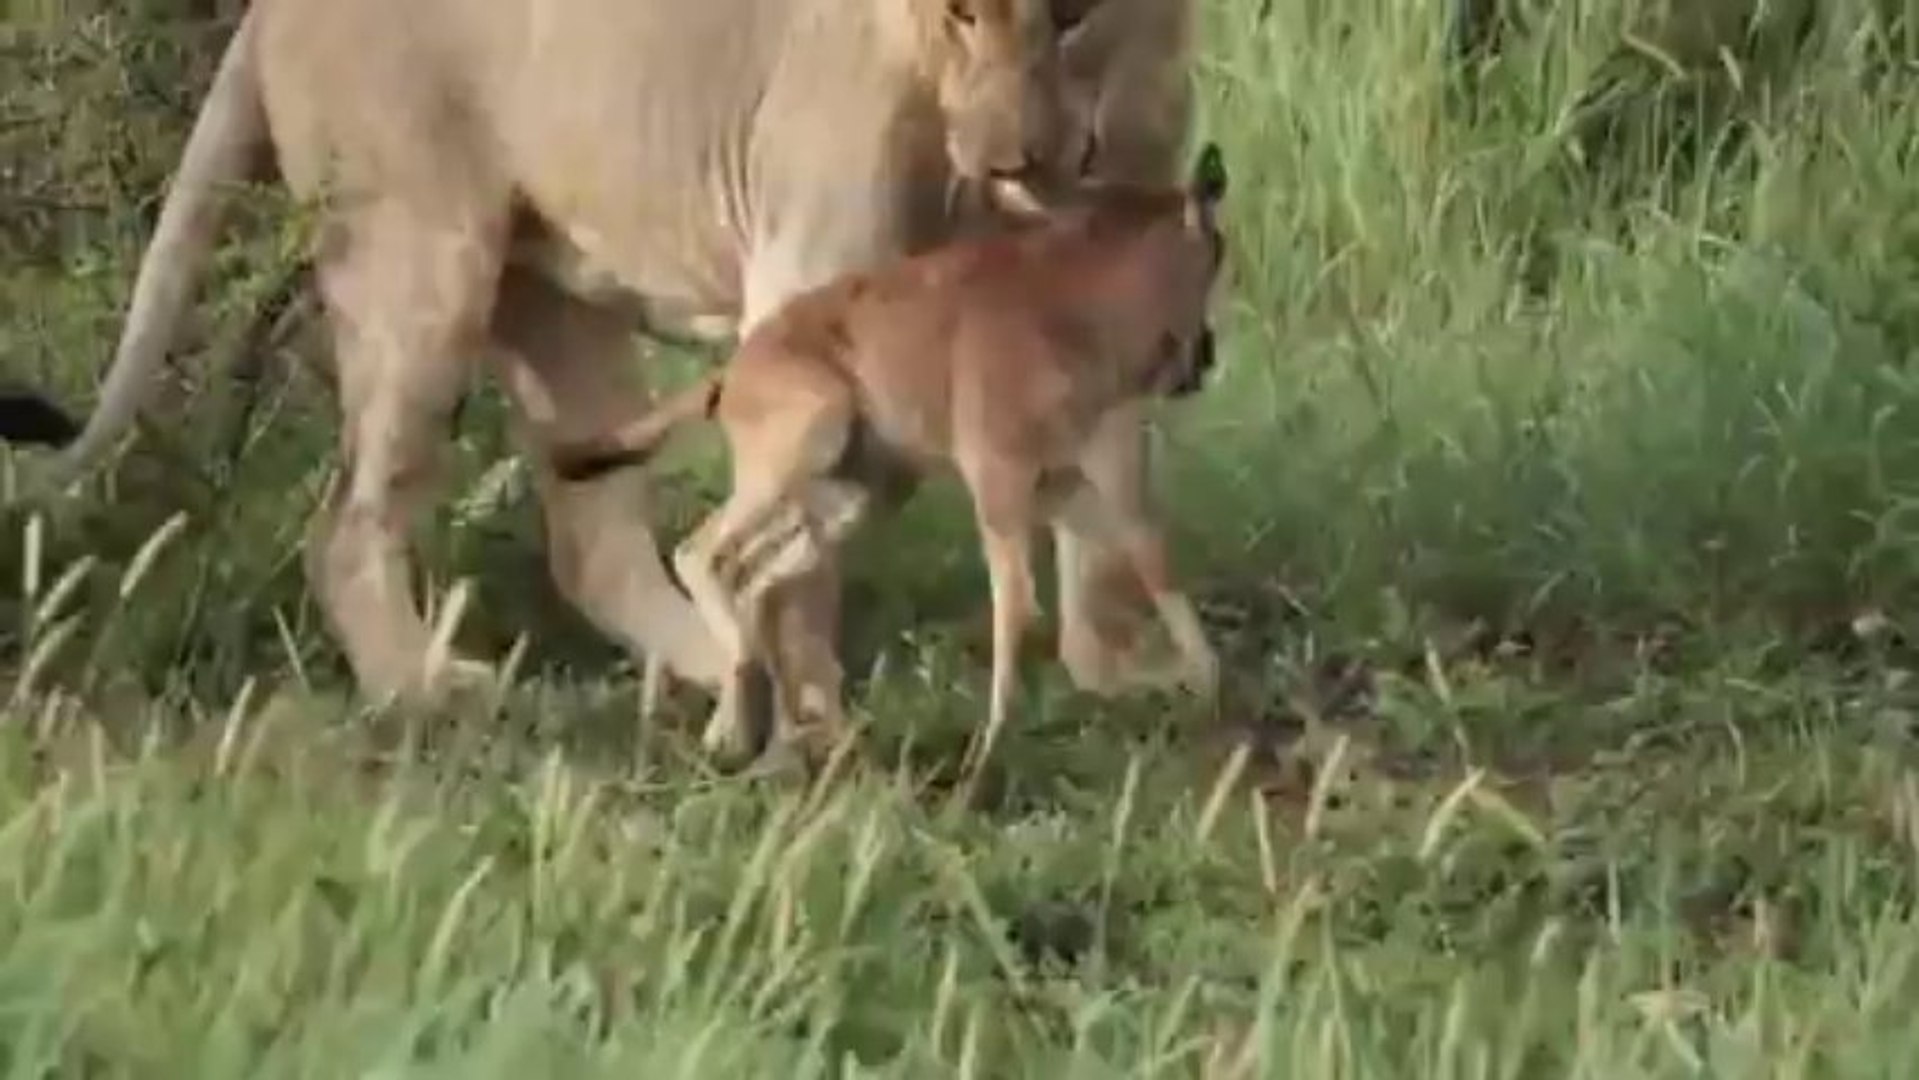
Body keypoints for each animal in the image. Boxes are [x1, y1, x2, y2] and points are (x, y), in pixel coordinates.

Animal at [1, 0, 1197, 755]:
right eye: (959, 13)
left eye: (1072, 12)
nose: (1011, 161)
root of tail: (257, 10)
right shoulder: (809, 278)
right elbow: (805, 553)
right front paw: (820, 714)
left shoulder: (1115, 305)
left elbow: (1108, 509)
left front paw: (1114, 675)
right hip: (414, 260)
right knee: (348, 521)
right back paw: (436, 686)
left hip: (559, 307)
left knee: (593, 538)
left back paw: (714, 671)